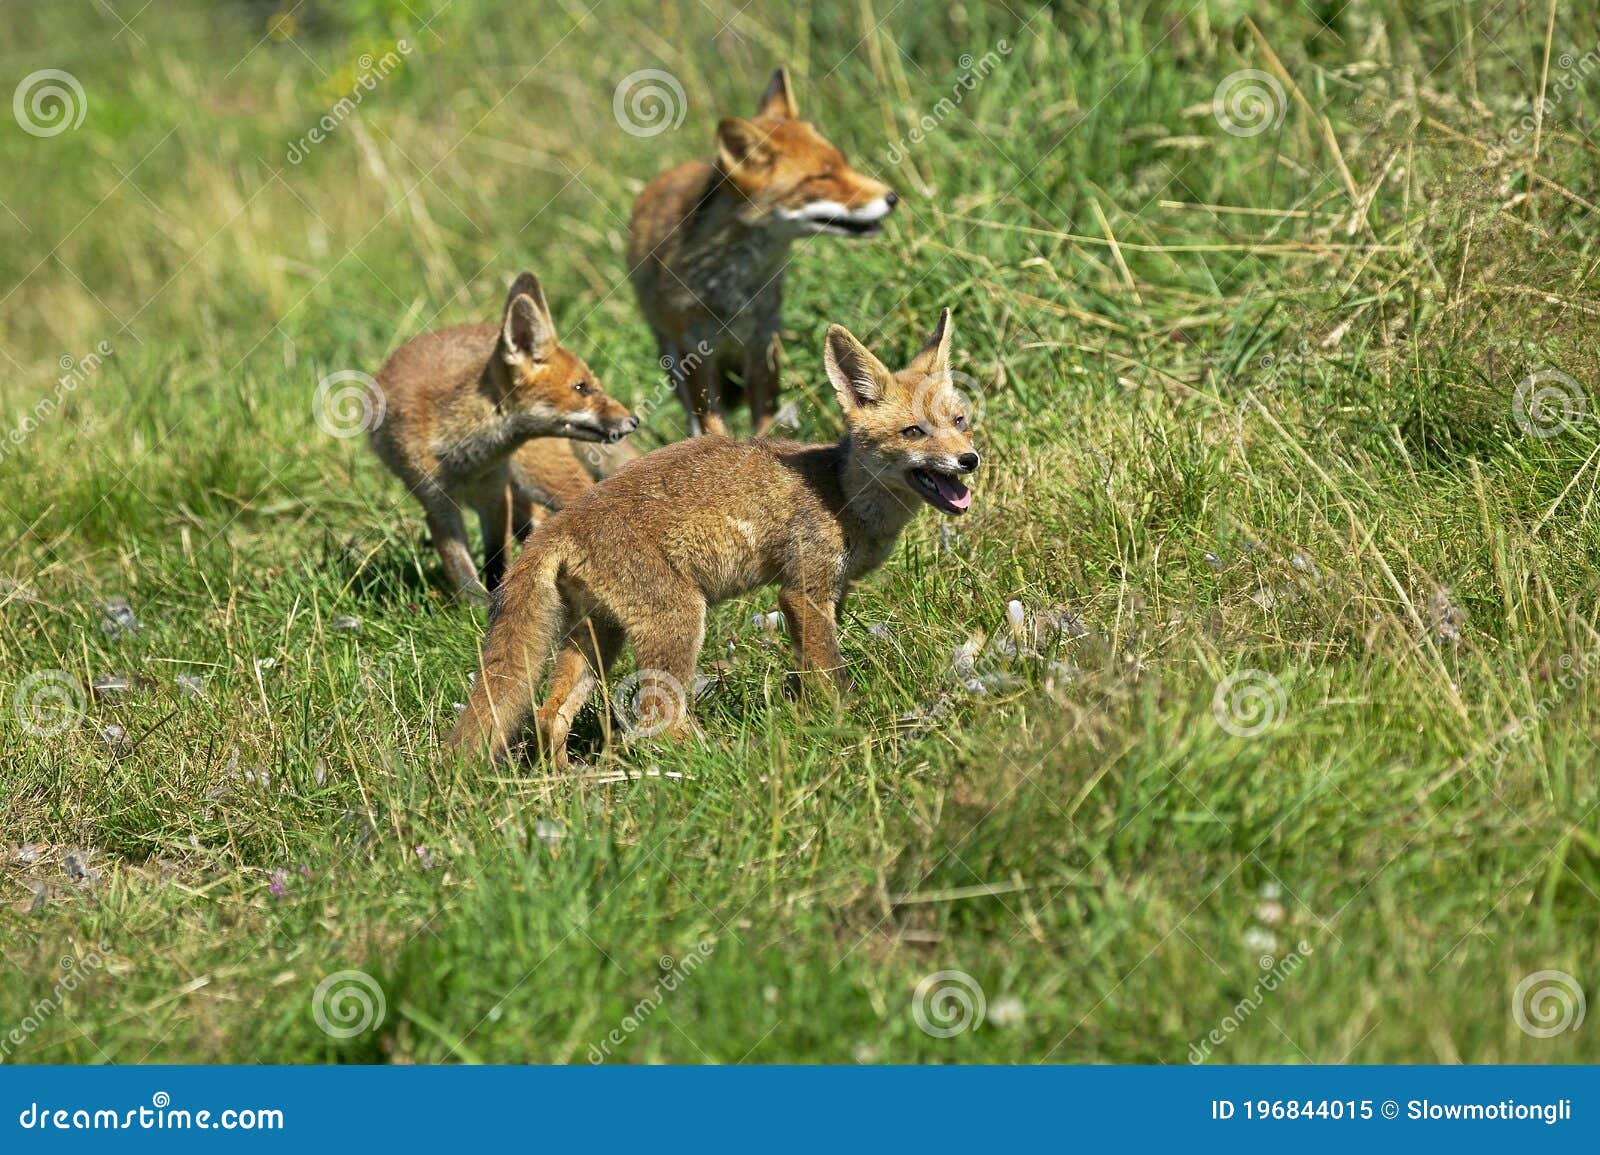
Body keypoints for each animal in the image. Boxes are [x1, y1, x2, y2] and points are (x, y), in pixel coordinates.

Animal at [368, 272, 638, 604]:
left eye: (590, 385)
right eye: (581, 388)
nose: (634, 420)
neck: (467, 461)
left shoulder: (495, 493)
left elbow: (496, 557)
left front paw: (497, 599)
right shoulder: (437, 505)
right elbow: (464, 572)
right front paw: (477, 607)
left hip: (539, 477)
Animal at [445, 309, 979, 768]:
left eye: (959, 422)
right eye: (913, 432)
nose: (970, 460)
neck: (842, 495)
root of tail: (557, 525)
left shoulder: (830, 592)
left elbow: (805, 670)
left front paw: (804, 716)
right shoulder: (803, 591)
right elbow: (831, 676)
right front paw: (848, 724)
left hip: (599, 636)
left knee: (548, 714)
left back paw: (570, 788)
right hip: (678, 619)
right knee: (657, 717)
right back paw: (725, 758)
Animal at [627, 67, 897, 438]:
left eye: (843, 164)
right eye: (822, 178)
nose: (892, 197)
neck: (733, 289)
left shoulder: (762, 343)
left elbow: (764, 420)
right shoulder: (695, 354)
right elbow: (713, 425)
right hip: (669, 352)